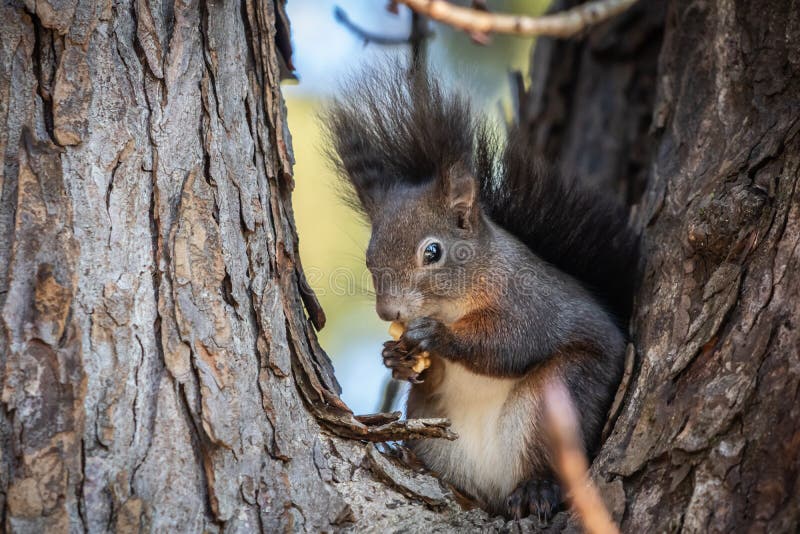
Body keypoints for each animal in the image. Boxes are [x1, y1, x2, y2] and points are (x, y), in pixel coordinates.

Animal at [323, 62, 638, 520]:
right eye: (369, 255)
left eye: (433, 252)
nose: (388, 312)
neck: (455, 305)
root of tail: (495, 489)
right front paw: (396, 358)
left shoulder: (532, 303)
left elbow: (509, 344)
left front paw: (436, 337)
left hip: (562, 398)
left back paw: (537, 489)